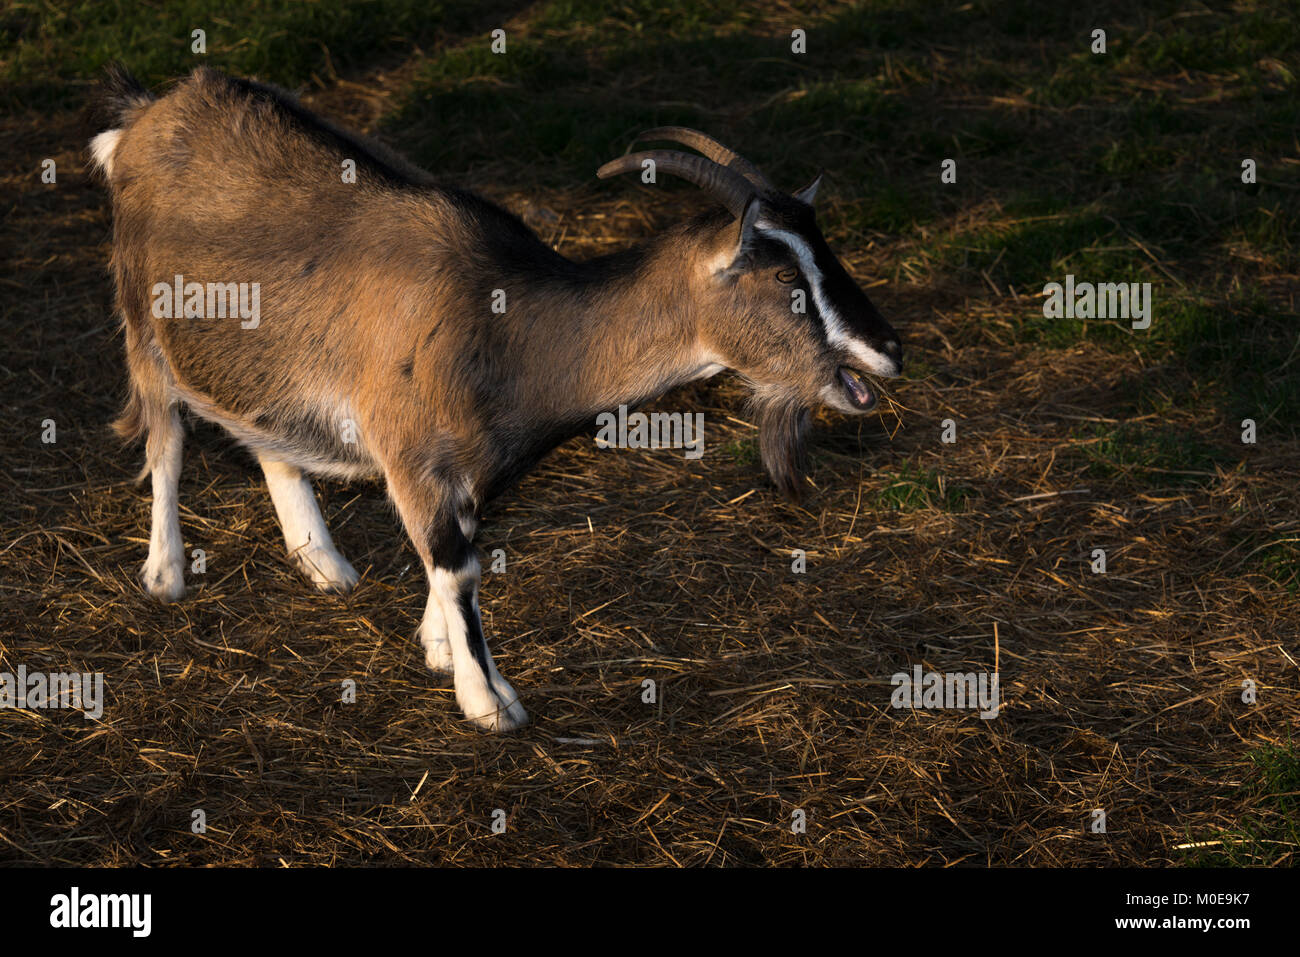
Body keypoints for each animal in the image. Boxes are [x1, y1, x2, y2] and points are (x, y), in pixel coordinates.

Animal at [90, 65, 904, 731]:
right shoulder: (410, 448)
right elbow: (458, 565)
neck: (504, 317)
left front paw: (437, 646)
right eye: (785, 279)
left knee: (265, 432)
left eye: (827, 253)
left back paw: (323, 563)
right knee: (165, 437)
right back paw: (165, 573)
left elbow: (455, 552)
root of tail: (146, 115)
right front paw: (488, 701)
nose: (889, 349)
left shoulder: (473, 464)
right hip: (141, 323)